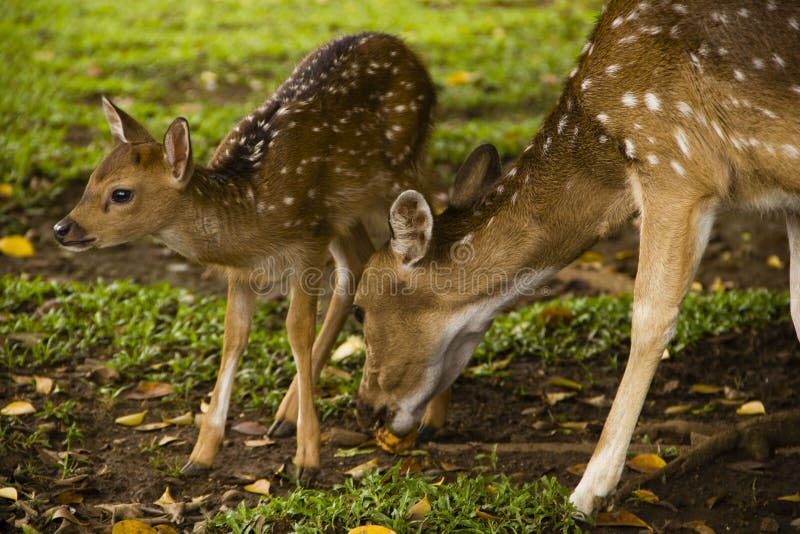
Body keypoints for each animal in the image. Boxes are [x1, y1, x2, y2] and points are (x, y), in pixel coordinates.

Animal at [53, 32, 436, 480]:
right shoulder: (246, 267)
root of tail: (408, 51)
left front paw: (308, 459)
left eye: (121, 193)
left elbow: (296, 331)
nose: (62, 229)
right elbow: (234, 337)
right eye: (90, 180)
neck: (252, 217)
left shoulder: (307, 243)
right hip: (344, 211)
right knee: (355, 267)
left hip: (402, 170)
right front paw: (200, 455)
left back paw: (432, 420)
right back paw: (284, 416)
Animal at [351, 0, 800, 516]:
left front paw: (590, 489)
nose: (365, 409)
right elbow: (796, 309)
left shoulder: (676, 164)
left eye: (359, 307)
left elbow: (650, 317)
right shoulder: (787, 197)